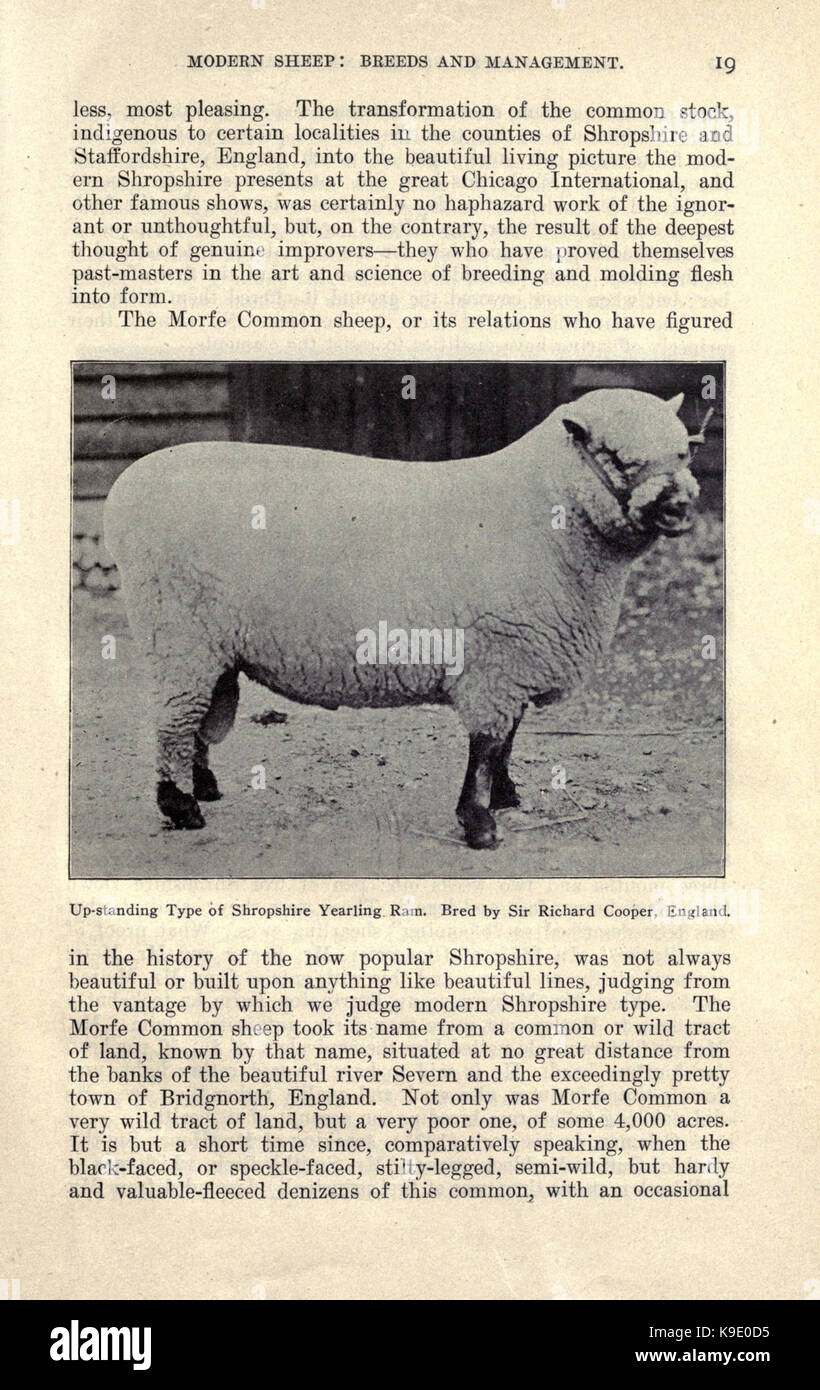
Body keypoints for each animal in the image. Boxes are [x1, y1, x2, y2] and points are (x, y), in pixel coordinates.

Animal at [103, 386, 699, 850]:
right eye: (616, 456)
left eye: (684, 452)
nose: (681, 506)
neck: (549, 510)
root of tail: (123, 489)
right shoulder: (498, 658)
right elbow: (486, 745)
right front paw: (479, 823)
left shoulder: (516, 659)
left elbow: (508, 739)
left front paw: (506, 798)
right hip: (176, 632)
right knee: (173, 721)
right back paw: (181, 807)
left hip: (209, 643)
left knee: (198, 720)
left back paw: (203, 785)